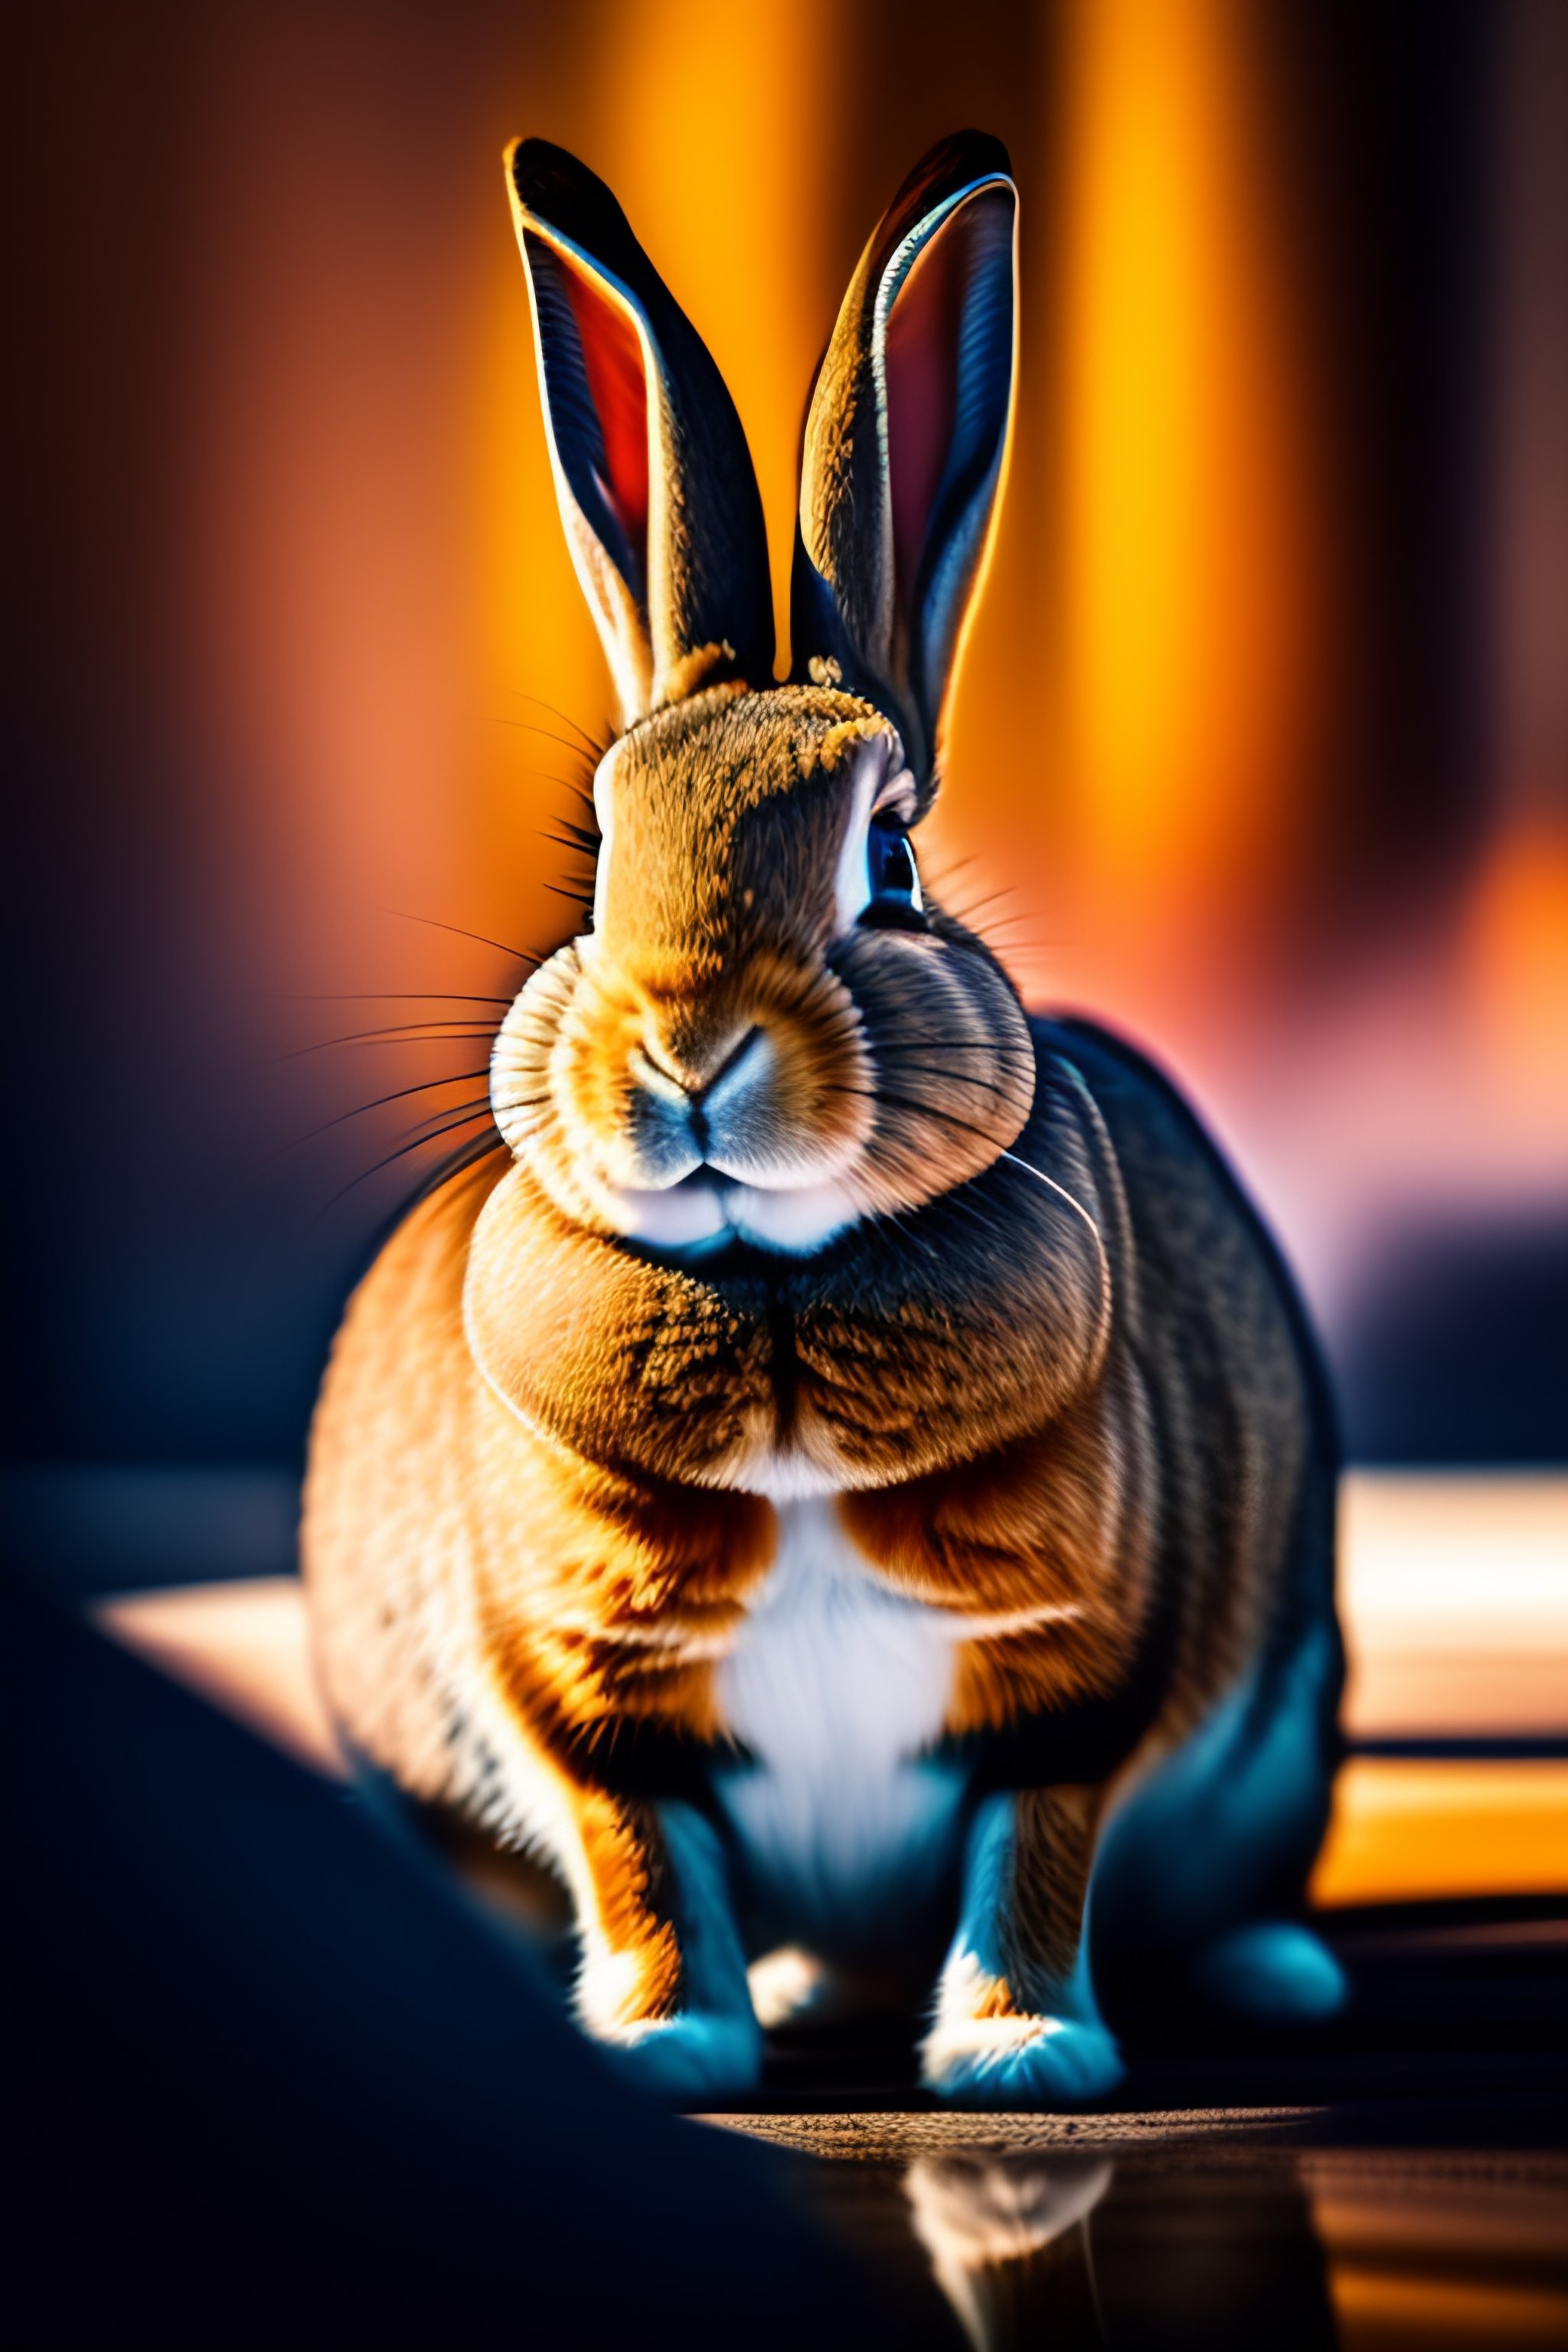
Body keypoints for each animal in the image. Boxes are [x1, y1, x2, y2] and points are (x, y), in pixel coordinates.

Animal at [303, 130, 1347, 2105]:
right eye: (599, 853)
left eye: (893, 858)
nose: (688, 1048)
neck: (775, 1295)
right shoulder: (591, 1692)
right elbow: (642, 1857)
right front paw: (668, 2045)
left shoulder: (1064, 1677)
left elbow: (1033, 1852)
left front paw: (1018, 2059)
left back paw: (1272, 1974)